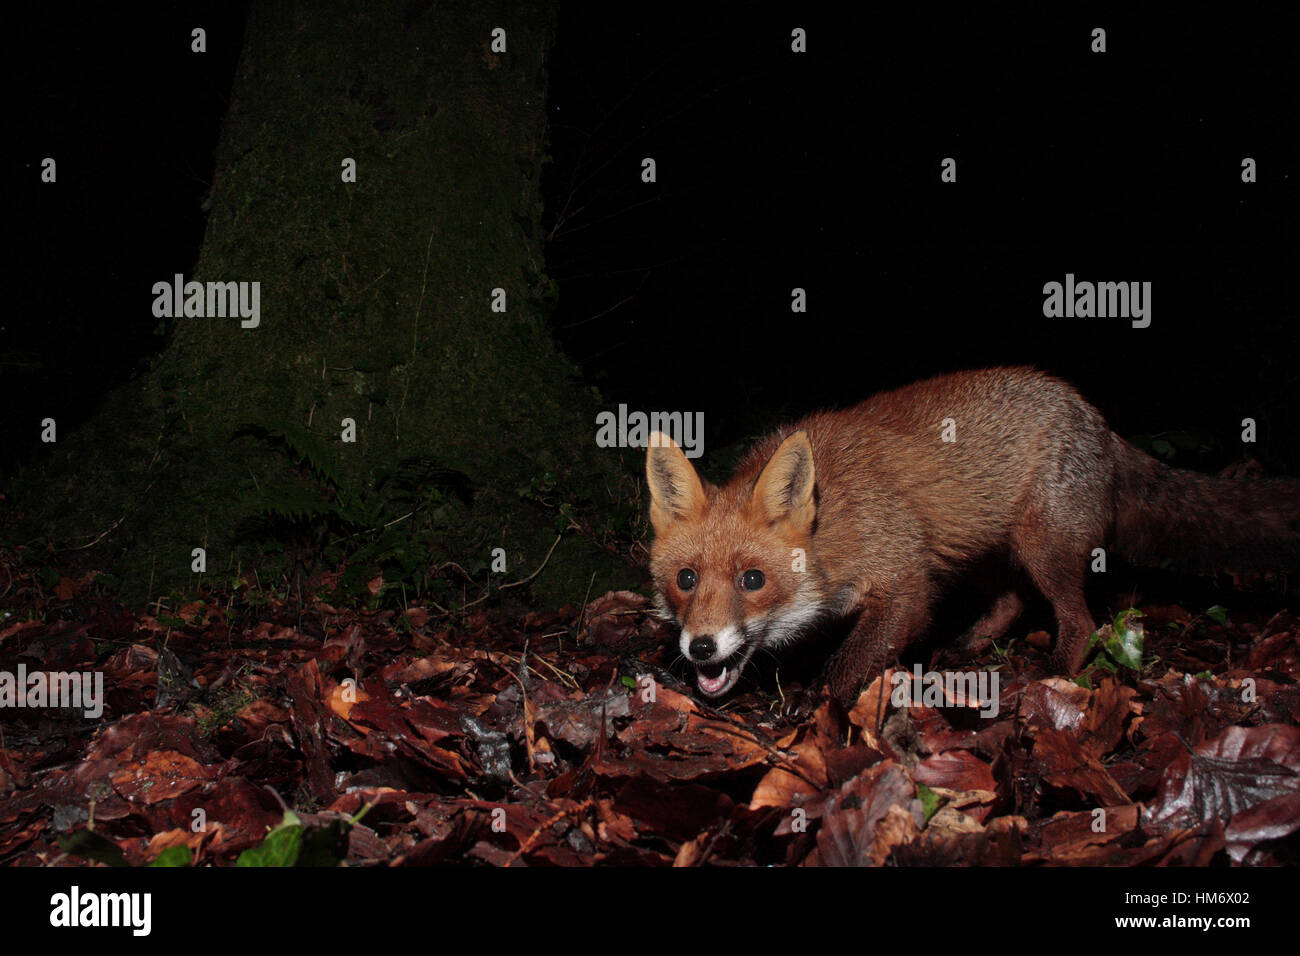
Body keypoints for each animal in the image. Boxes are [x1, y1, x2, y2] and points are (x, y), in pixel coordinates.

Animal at [645, 366, 1300, 706]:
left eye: (753, 579)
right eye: (686, 579)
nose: (699, 648)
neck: (834, 525)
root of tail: (1098, 419)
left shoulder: (905, 585)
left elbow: (849, 663)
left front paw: (813, 708)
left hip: (1041, 545)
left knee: (1081, 619)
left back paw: (1052, 673)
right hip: (982, 545)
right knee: (1012, 600)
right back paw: (969, 647)